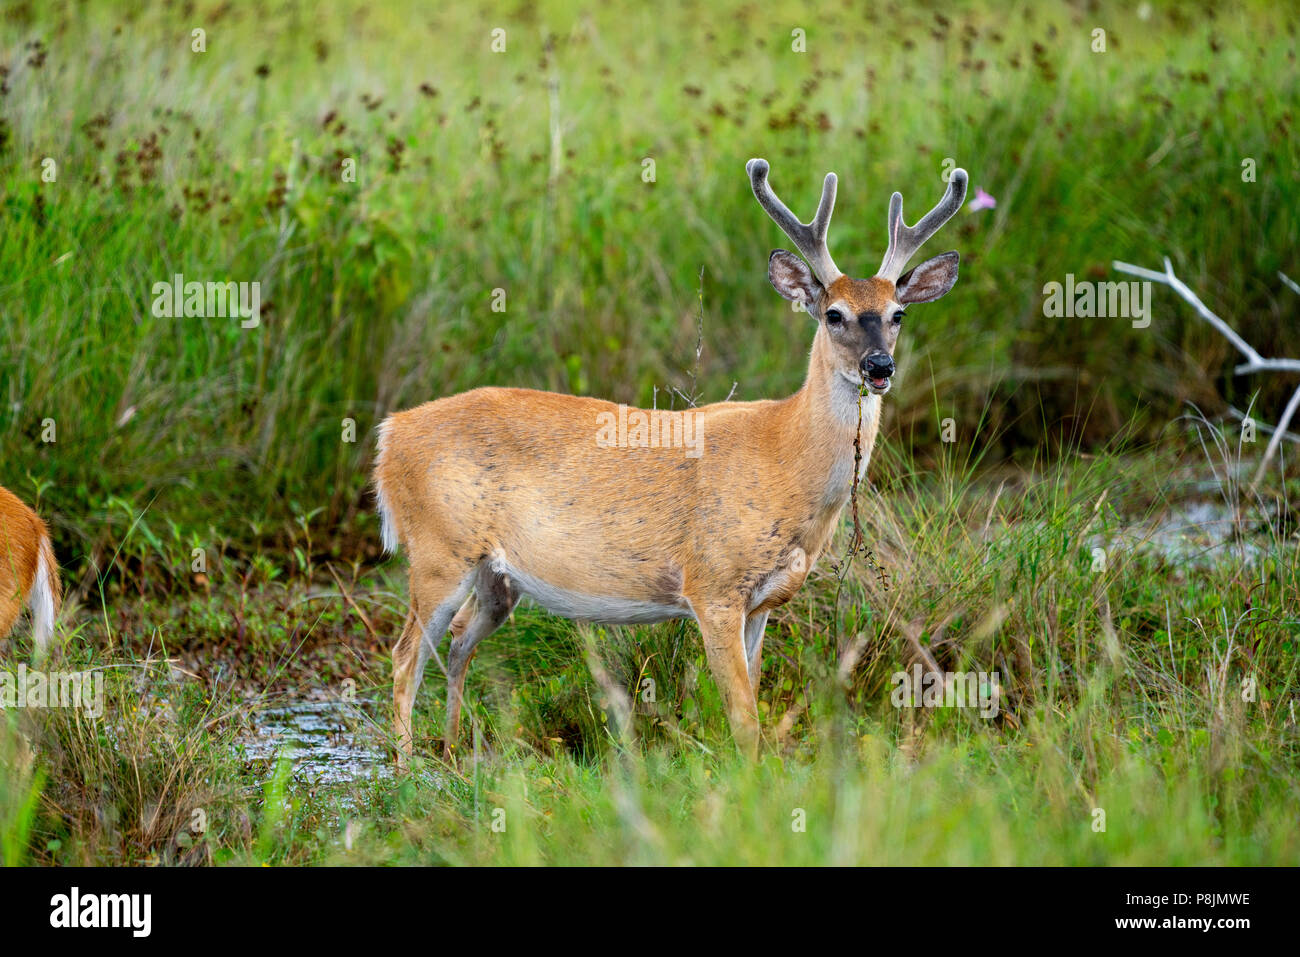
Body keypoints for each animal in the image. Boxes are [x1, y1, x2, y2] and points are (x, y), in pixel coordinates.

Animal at [374, 157, 966, 768]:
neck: (784, 458)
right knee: (403, 656)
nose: (879, 366)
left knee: (458, 639)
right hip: (438, 549)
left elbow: (753, 699)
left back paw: (452, 751)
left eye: (898, 314)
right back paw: (407, 768)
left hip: (495, 577)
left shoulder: (763, 603)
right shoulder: (713, 585)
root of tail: (390, 433)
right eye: (833, 314)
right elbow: (744, 720)